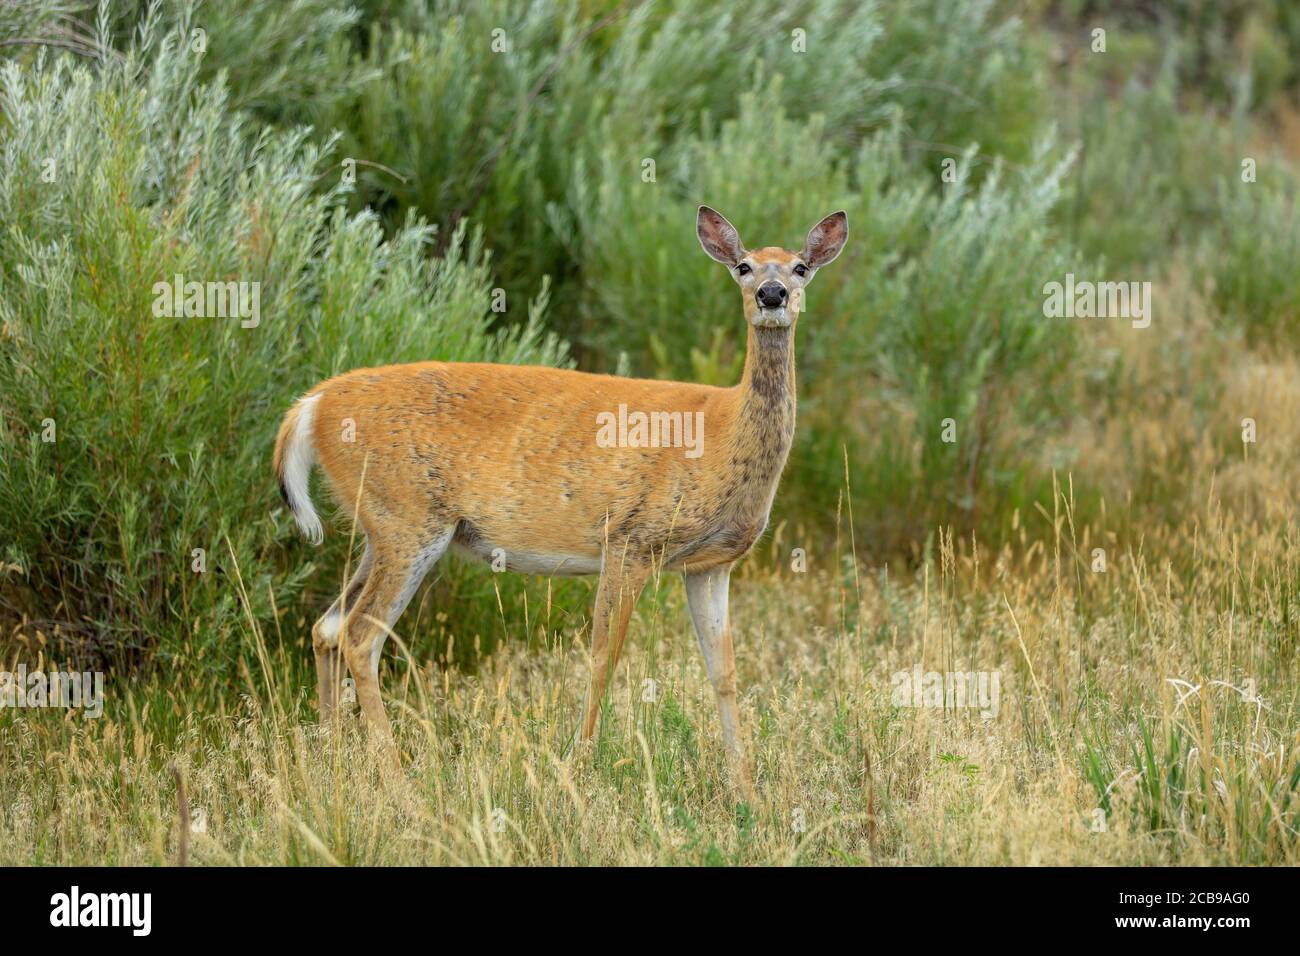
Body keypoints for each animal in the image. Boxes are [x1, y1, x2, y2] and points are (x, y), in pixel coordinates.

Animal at [272, 206, 848, 798]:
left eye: (801, 267)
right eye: (743, 266)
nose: (773, 294)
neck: (721, 431)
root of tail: (310, 407)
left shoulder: (710, 565)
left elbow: (724, 672)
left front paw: (747, 790)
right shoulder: (631, 539)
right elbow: (601, 659)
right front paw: (577, 768)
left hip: (381, 528)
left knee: (327, 627)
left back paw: (332, 755)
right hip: (408, 521)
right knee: (360, 635)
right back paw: (396, 776)